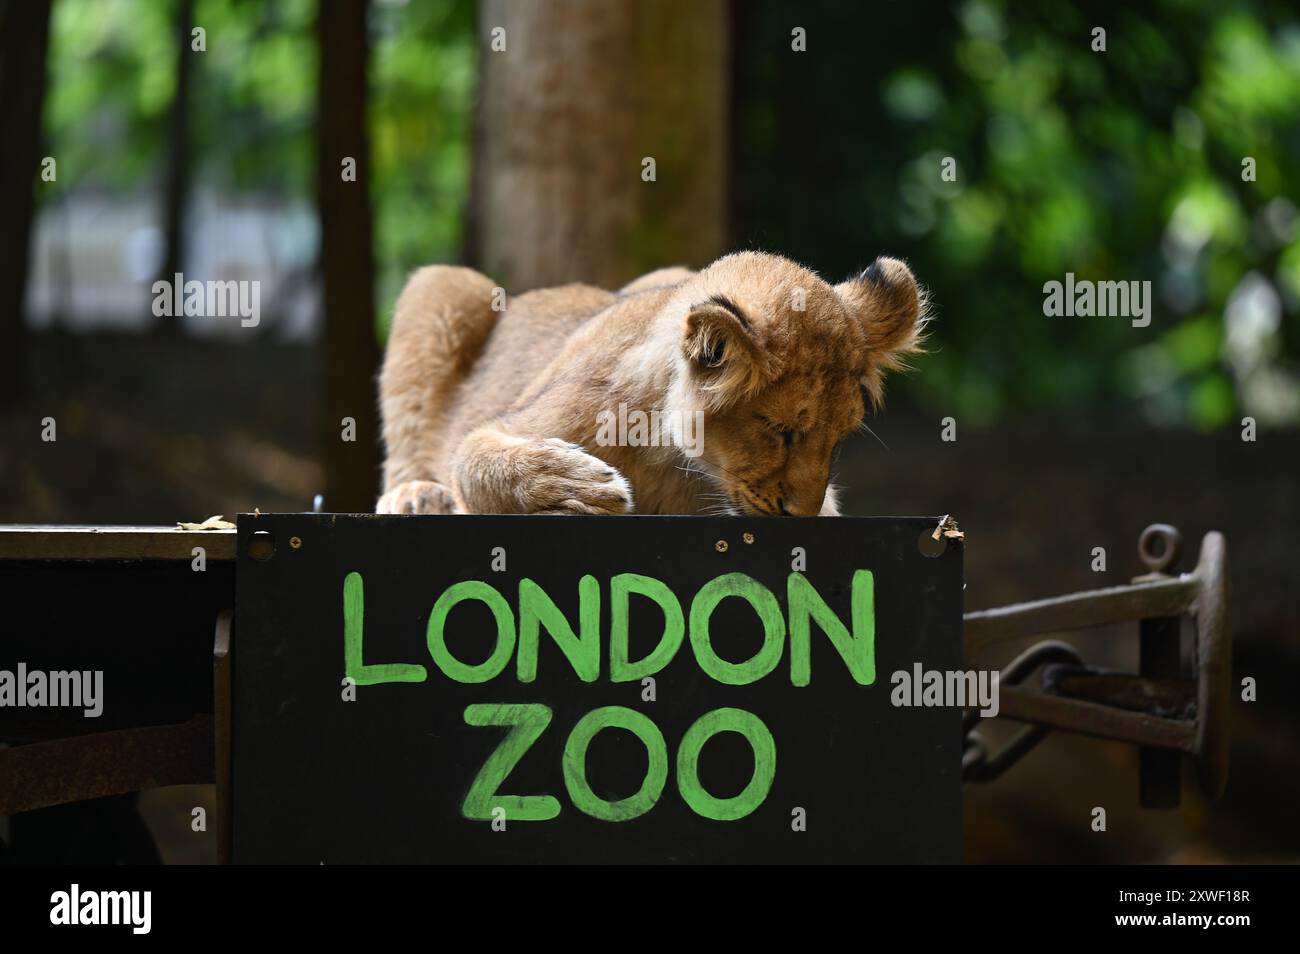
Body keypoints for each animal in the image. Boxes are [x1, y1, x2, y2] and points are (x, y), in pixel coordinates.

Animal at [376, 251, 927, 517]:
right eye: (781, 431)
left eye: (839, 438)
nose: (802, 515)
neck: (667, 453)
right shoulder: (513, 423)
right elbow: (473, 460)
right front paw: (580, 485)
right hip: (439, 285)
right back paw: (415, 496)